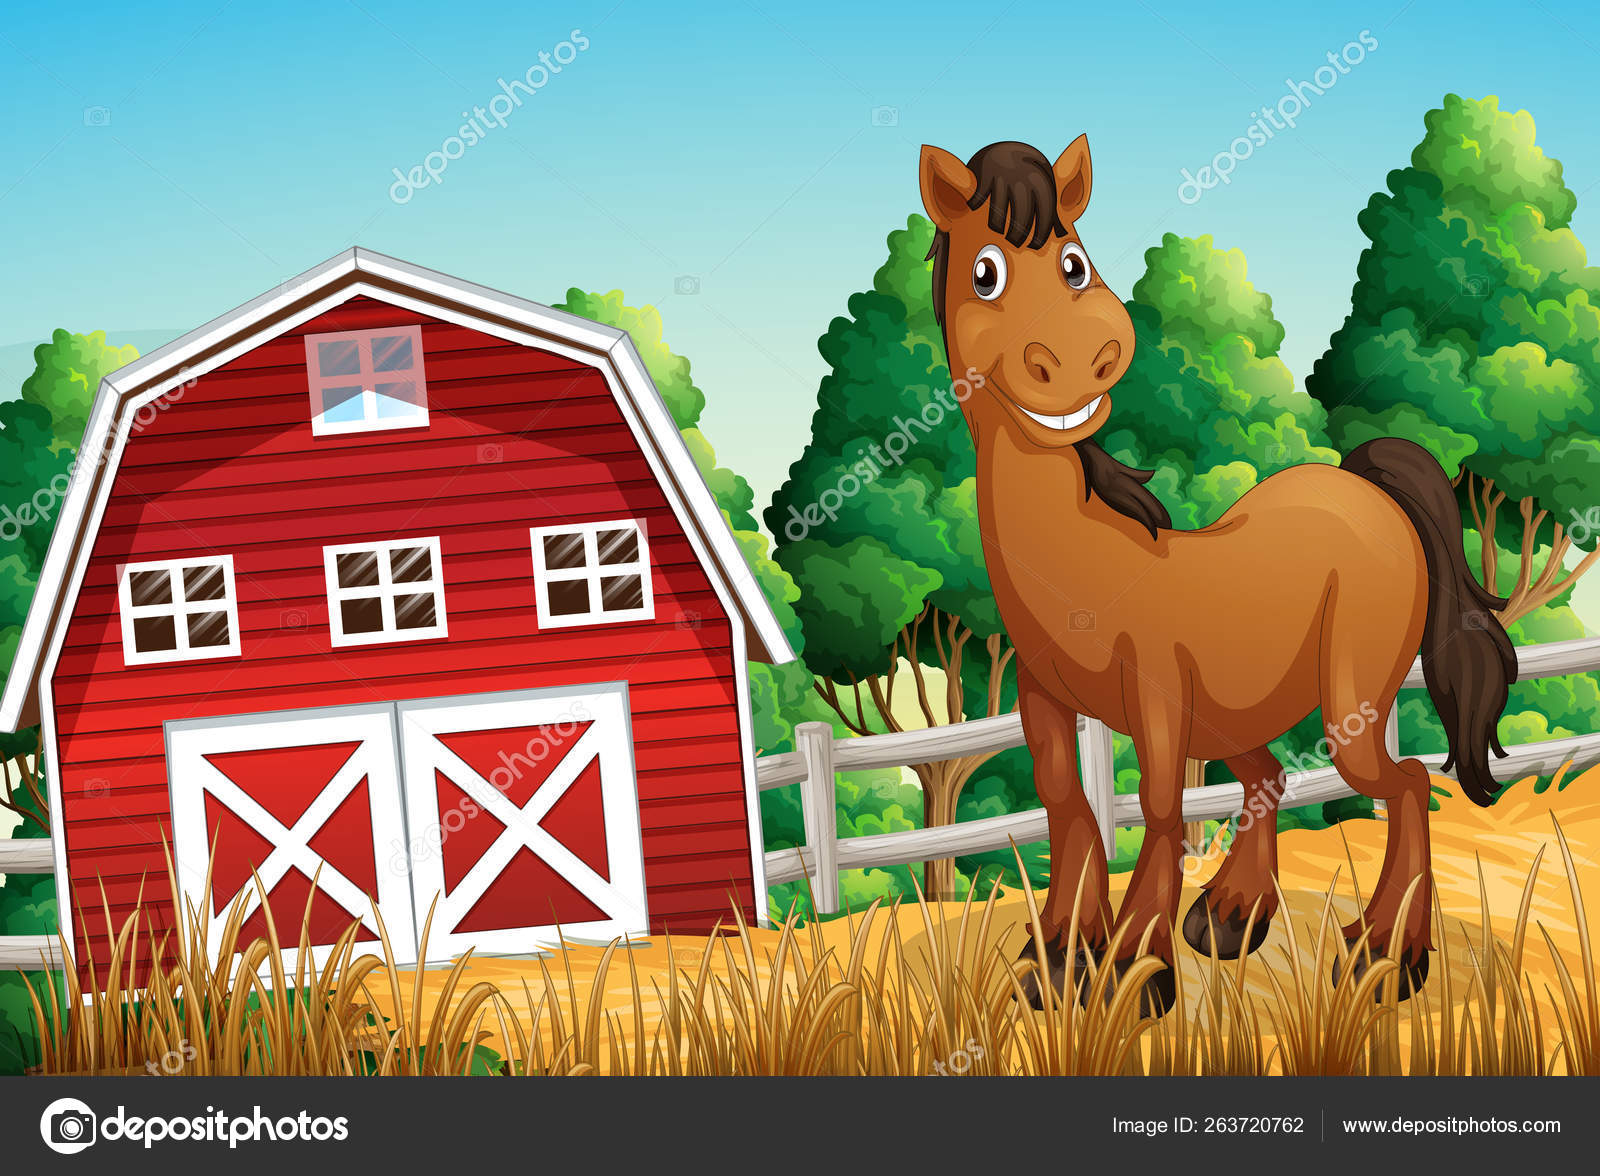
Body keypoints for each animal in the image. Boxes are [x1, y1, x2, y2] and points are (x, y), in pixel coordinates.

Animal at [918, 137, 1516, 1013]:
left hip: (1349, 702)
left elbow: (1161, 811)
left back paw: (1382, 958)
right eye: (985, 272)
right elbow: (1066, 802)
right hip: (1238, 715)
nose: (1085, 357)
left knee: (1404, 783)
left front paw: (1134, 969)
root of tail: (1364, 484)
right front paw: (1059, 957)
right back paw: (1231, 918)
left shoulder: (1160, 697)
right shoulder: (1042, 697)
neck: (1086, 560)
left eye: (1073, 260)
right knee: (1269, 779)